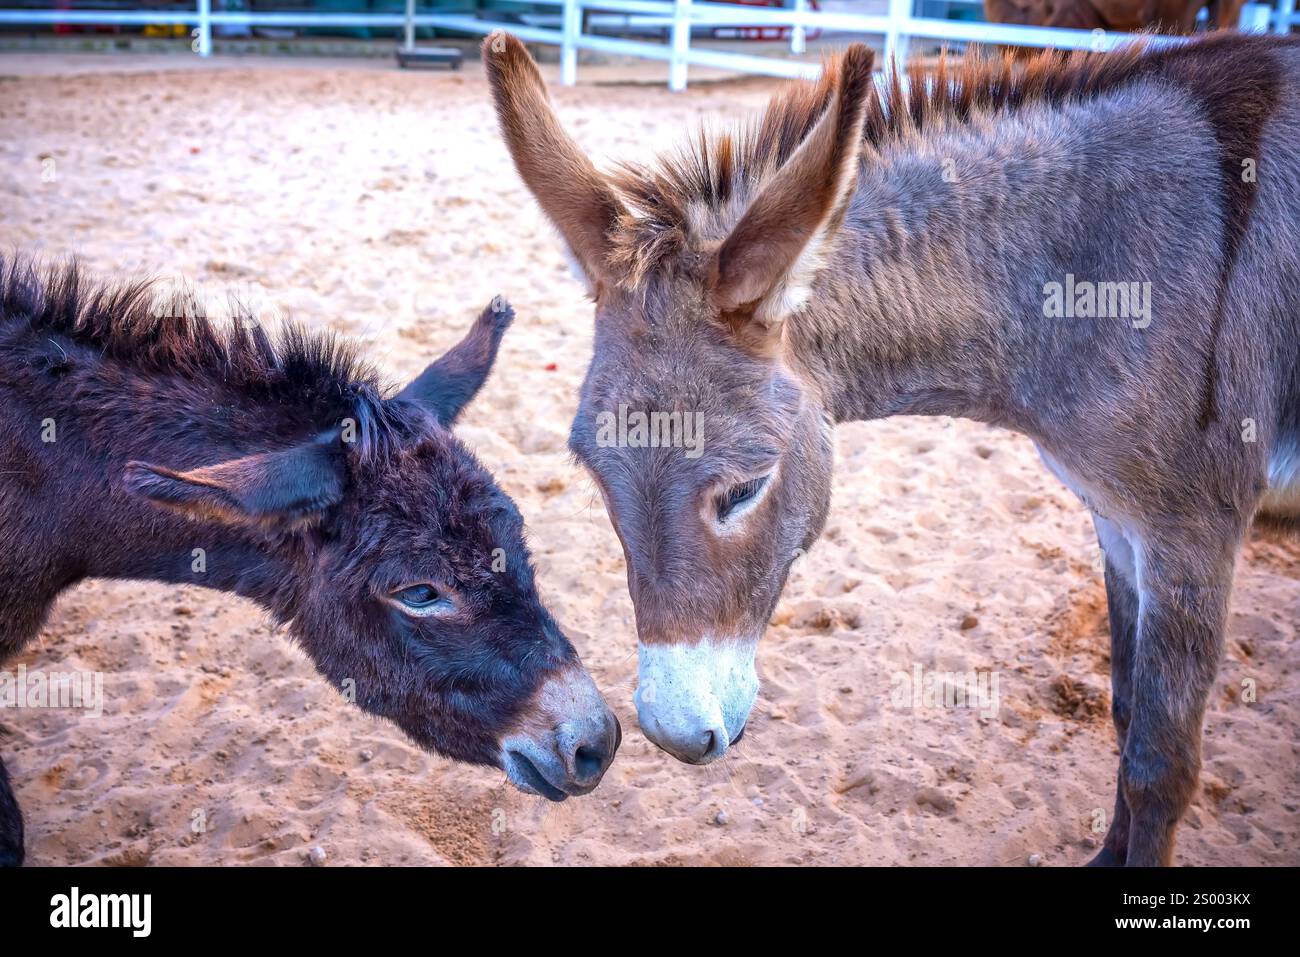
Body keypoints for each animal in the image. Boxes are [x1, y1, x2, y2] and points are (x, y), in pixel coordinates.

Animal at [483, 30, 1300, 865]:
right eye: (595, 477)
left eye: (745, 489)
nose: (674, 735)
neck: (1094, 269)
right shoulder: (1116, 518)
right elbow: (1126, 711)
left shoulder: (1190, 534)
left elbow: (1159, 761)